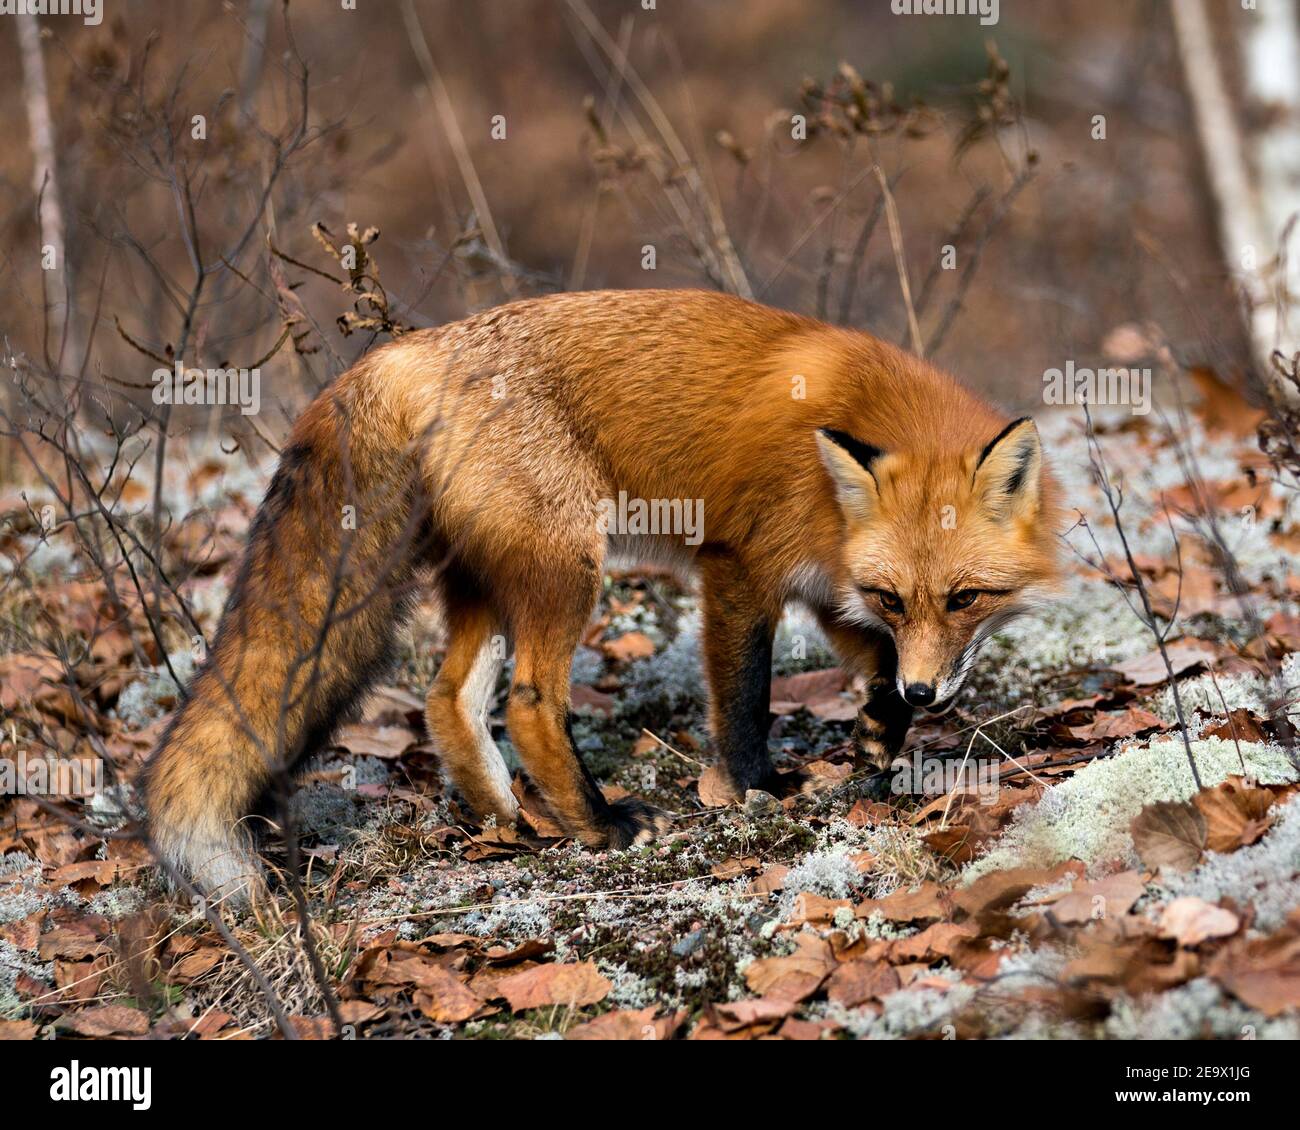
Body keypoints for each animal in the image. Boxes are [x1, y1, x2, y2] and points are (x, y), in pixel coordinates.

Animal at [143, 288, 1062, 903]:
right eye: (905, 597)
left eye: (964, 598)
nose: (928, 692)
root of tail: (404, 353)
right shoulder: (738, 567)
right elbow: (746, 700)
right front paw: (758, 787)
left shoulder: (828, 584)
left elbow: (868, 662)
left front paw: (878, 733)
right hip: (566, 569)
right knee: (528, 702)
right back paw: (598, 824)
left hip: (488, 581)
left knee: (448, 698)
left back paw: (508, 822)